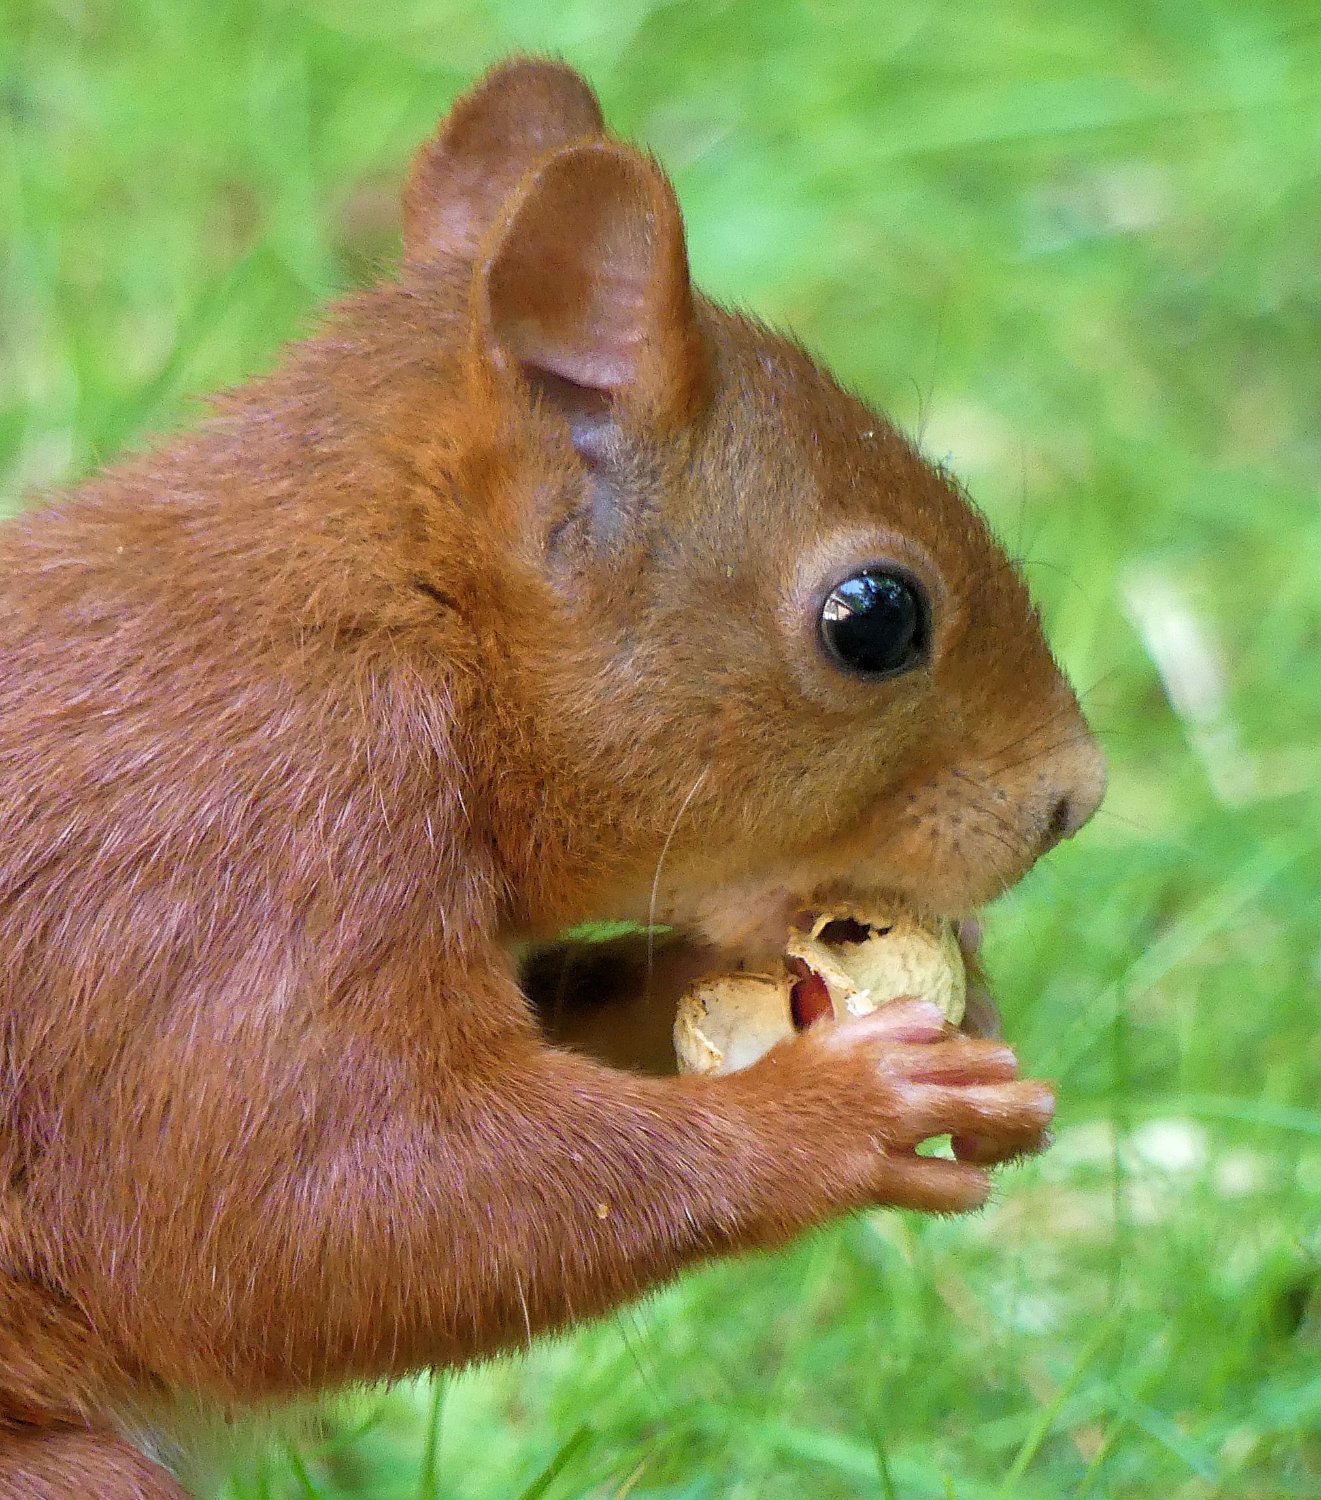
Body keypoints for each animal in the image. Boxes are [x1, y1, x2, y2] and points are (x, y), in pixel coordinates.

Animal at [0, 57, 1105, 1497]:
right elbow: (280, 1234)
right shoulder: (235, 872)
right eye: (875, 619)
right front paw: (833, 1114)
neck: (400, 620)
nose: (1075, 796)